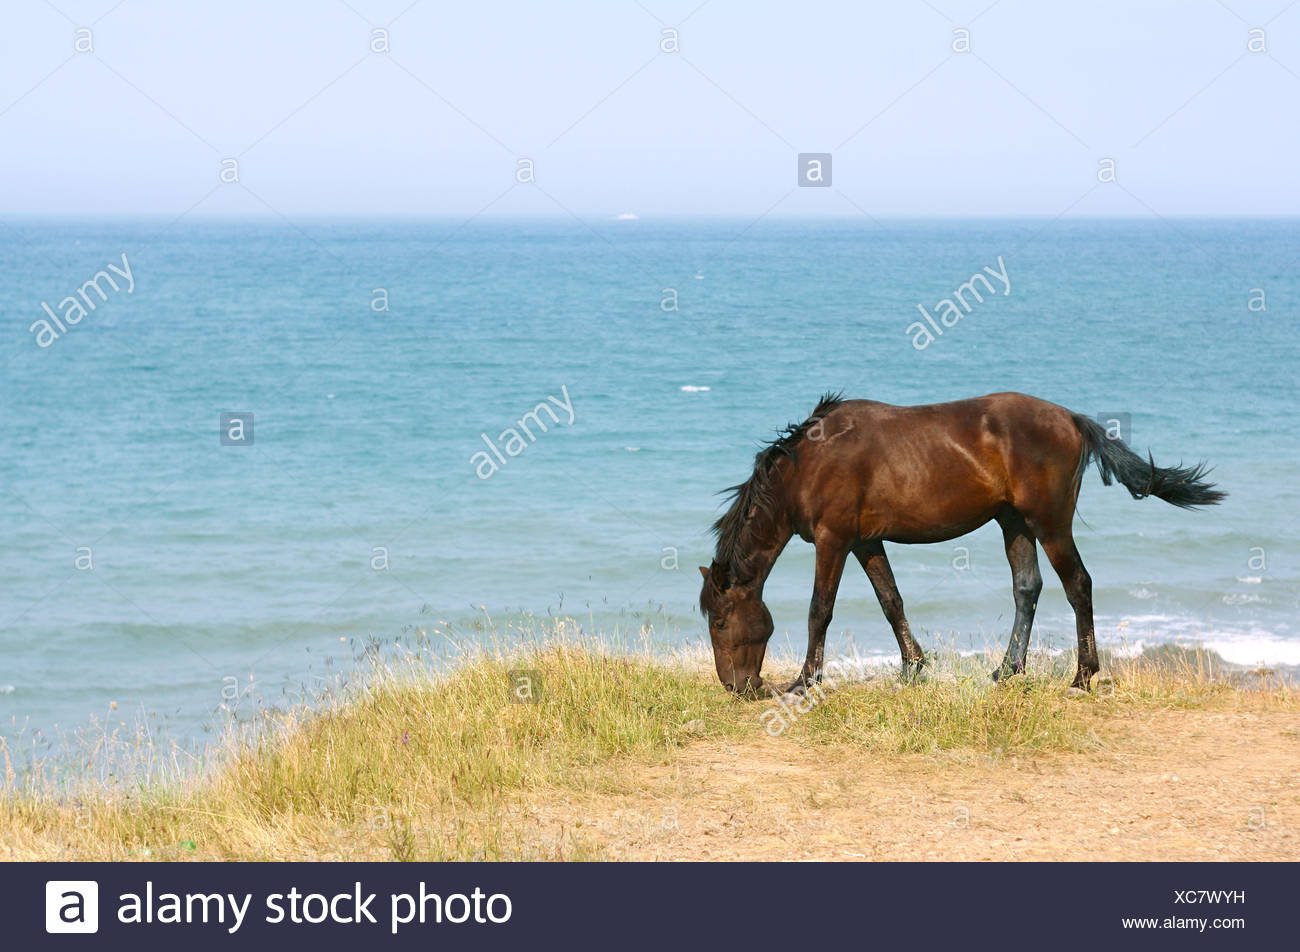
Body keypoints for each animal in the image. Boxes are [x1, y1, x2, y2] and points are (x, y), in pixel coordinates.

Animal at [697, 392, 1224, 696]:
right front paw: (912, 668)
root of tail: (1072, 420)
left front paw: (804, 682)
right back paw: (1007, 670)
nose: (735, 686)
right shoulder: (867, 542)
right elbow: (890, 601)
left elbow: (819, 610)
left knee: (1078, 585)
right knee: (1027, 589)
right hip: (1014, 522)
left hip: (1049, 523)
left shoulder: (835, 540)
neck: (811, 463)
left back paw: (1081, 677)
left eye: (720, 621)